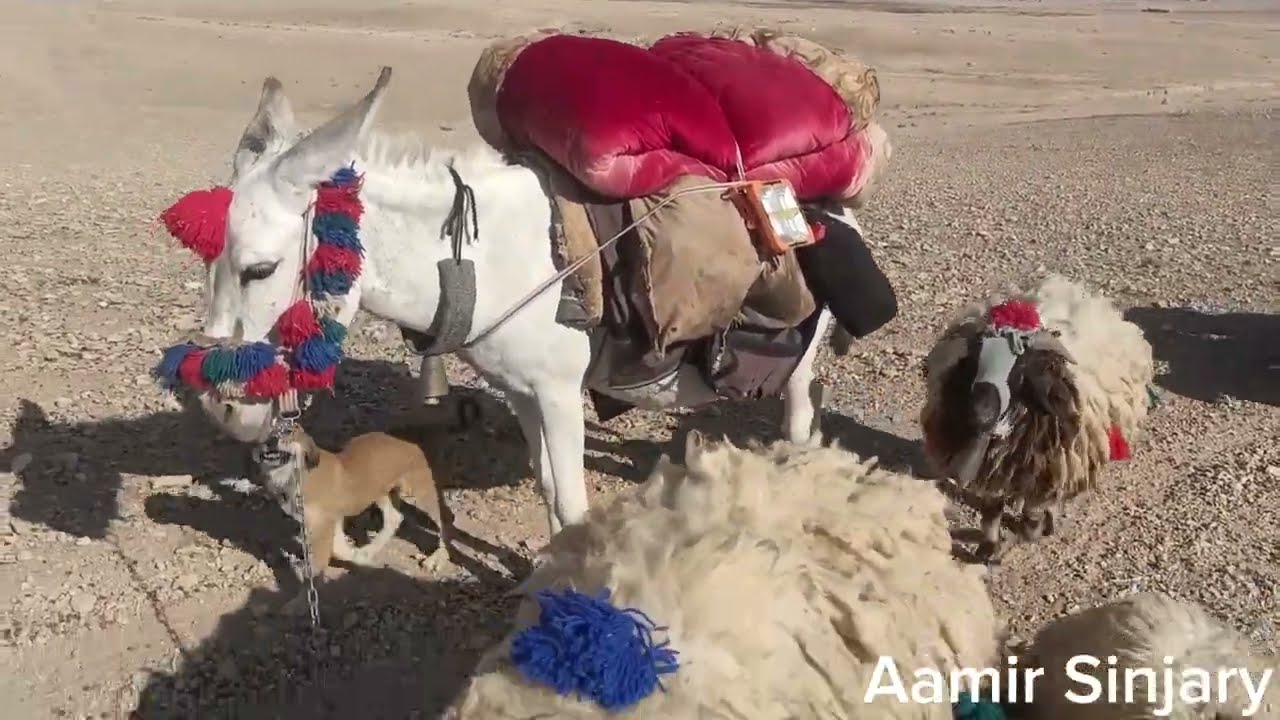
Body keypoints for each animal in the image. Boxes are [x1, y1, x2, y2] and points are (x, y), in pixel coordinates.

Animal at [918, 274, 1155, 563]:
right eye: (974, 360)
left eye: (1020, 368)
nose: (980, 414)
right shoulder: (993, 470)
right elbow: (991, 511)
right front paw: (988, 549)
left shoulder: (1045, 468)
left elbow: (1032, 511)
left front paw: (1030, 531)